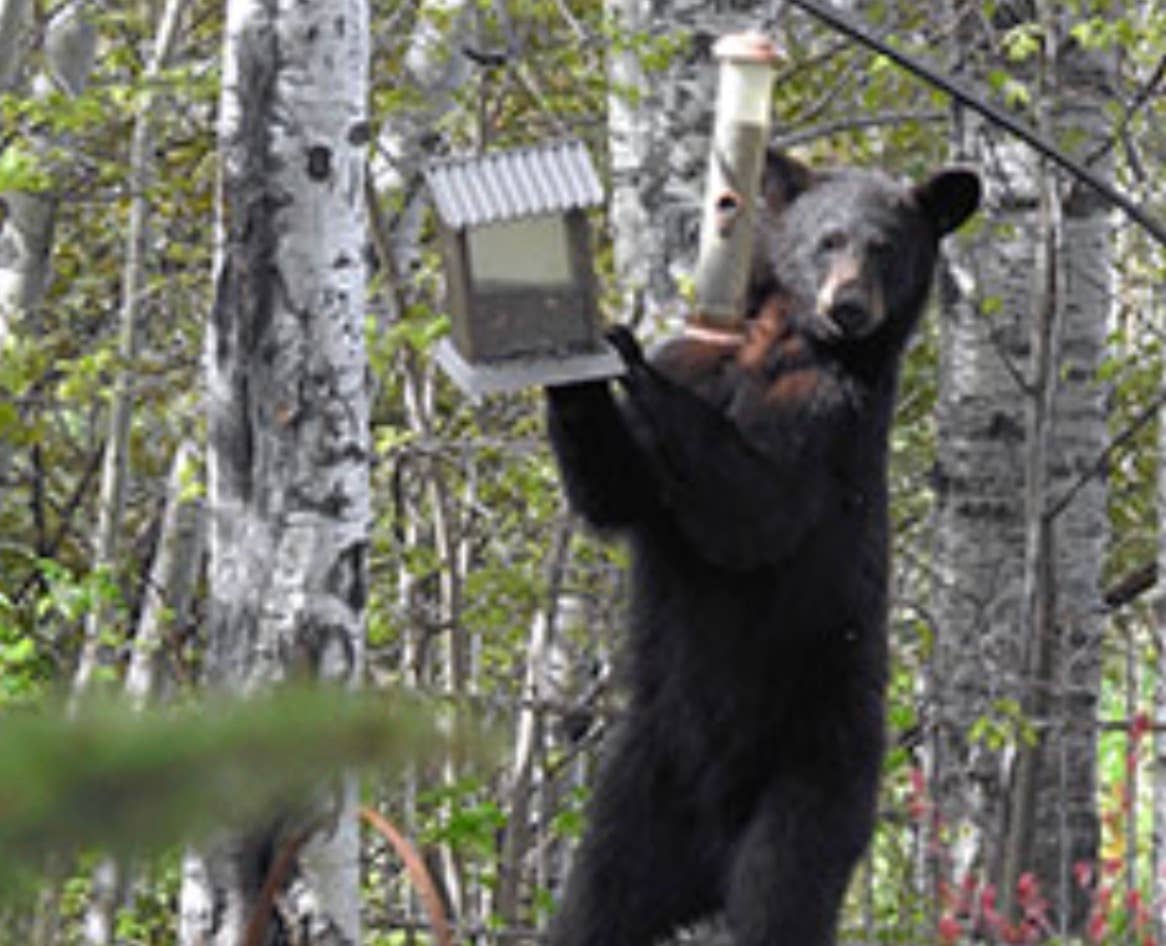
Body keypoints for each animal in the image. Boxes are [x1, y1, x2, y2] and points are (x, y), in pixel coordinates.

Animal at [542, 149, 980, 946]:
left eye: (885, 247)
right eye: (830, 239)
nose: (849, 305)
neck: (783, 338)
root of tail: (705, 872)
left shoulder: (828, 415)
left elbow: (755, 515)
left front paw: (629, 360)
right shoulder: (701, 363)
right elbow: (618, 490)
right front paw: (580, 359)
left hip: (815, 782)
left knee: (781, 896)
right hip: (639, 795)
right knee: (594, 905)